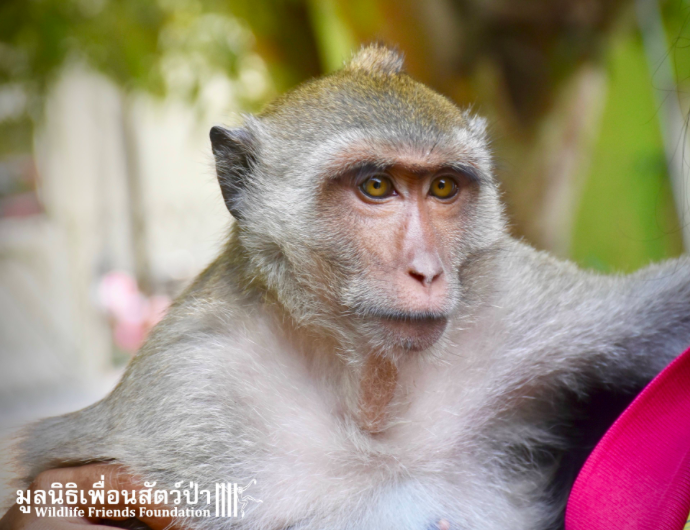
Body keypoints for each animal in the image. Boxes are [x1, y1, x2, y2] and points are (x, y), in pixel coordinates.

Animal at [7, 44, 690, 530]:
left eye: (443, 187)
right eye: (376, 187)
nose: (428, 270)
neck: (369, 391)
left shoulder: (515, 298)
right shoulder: (190, 397)